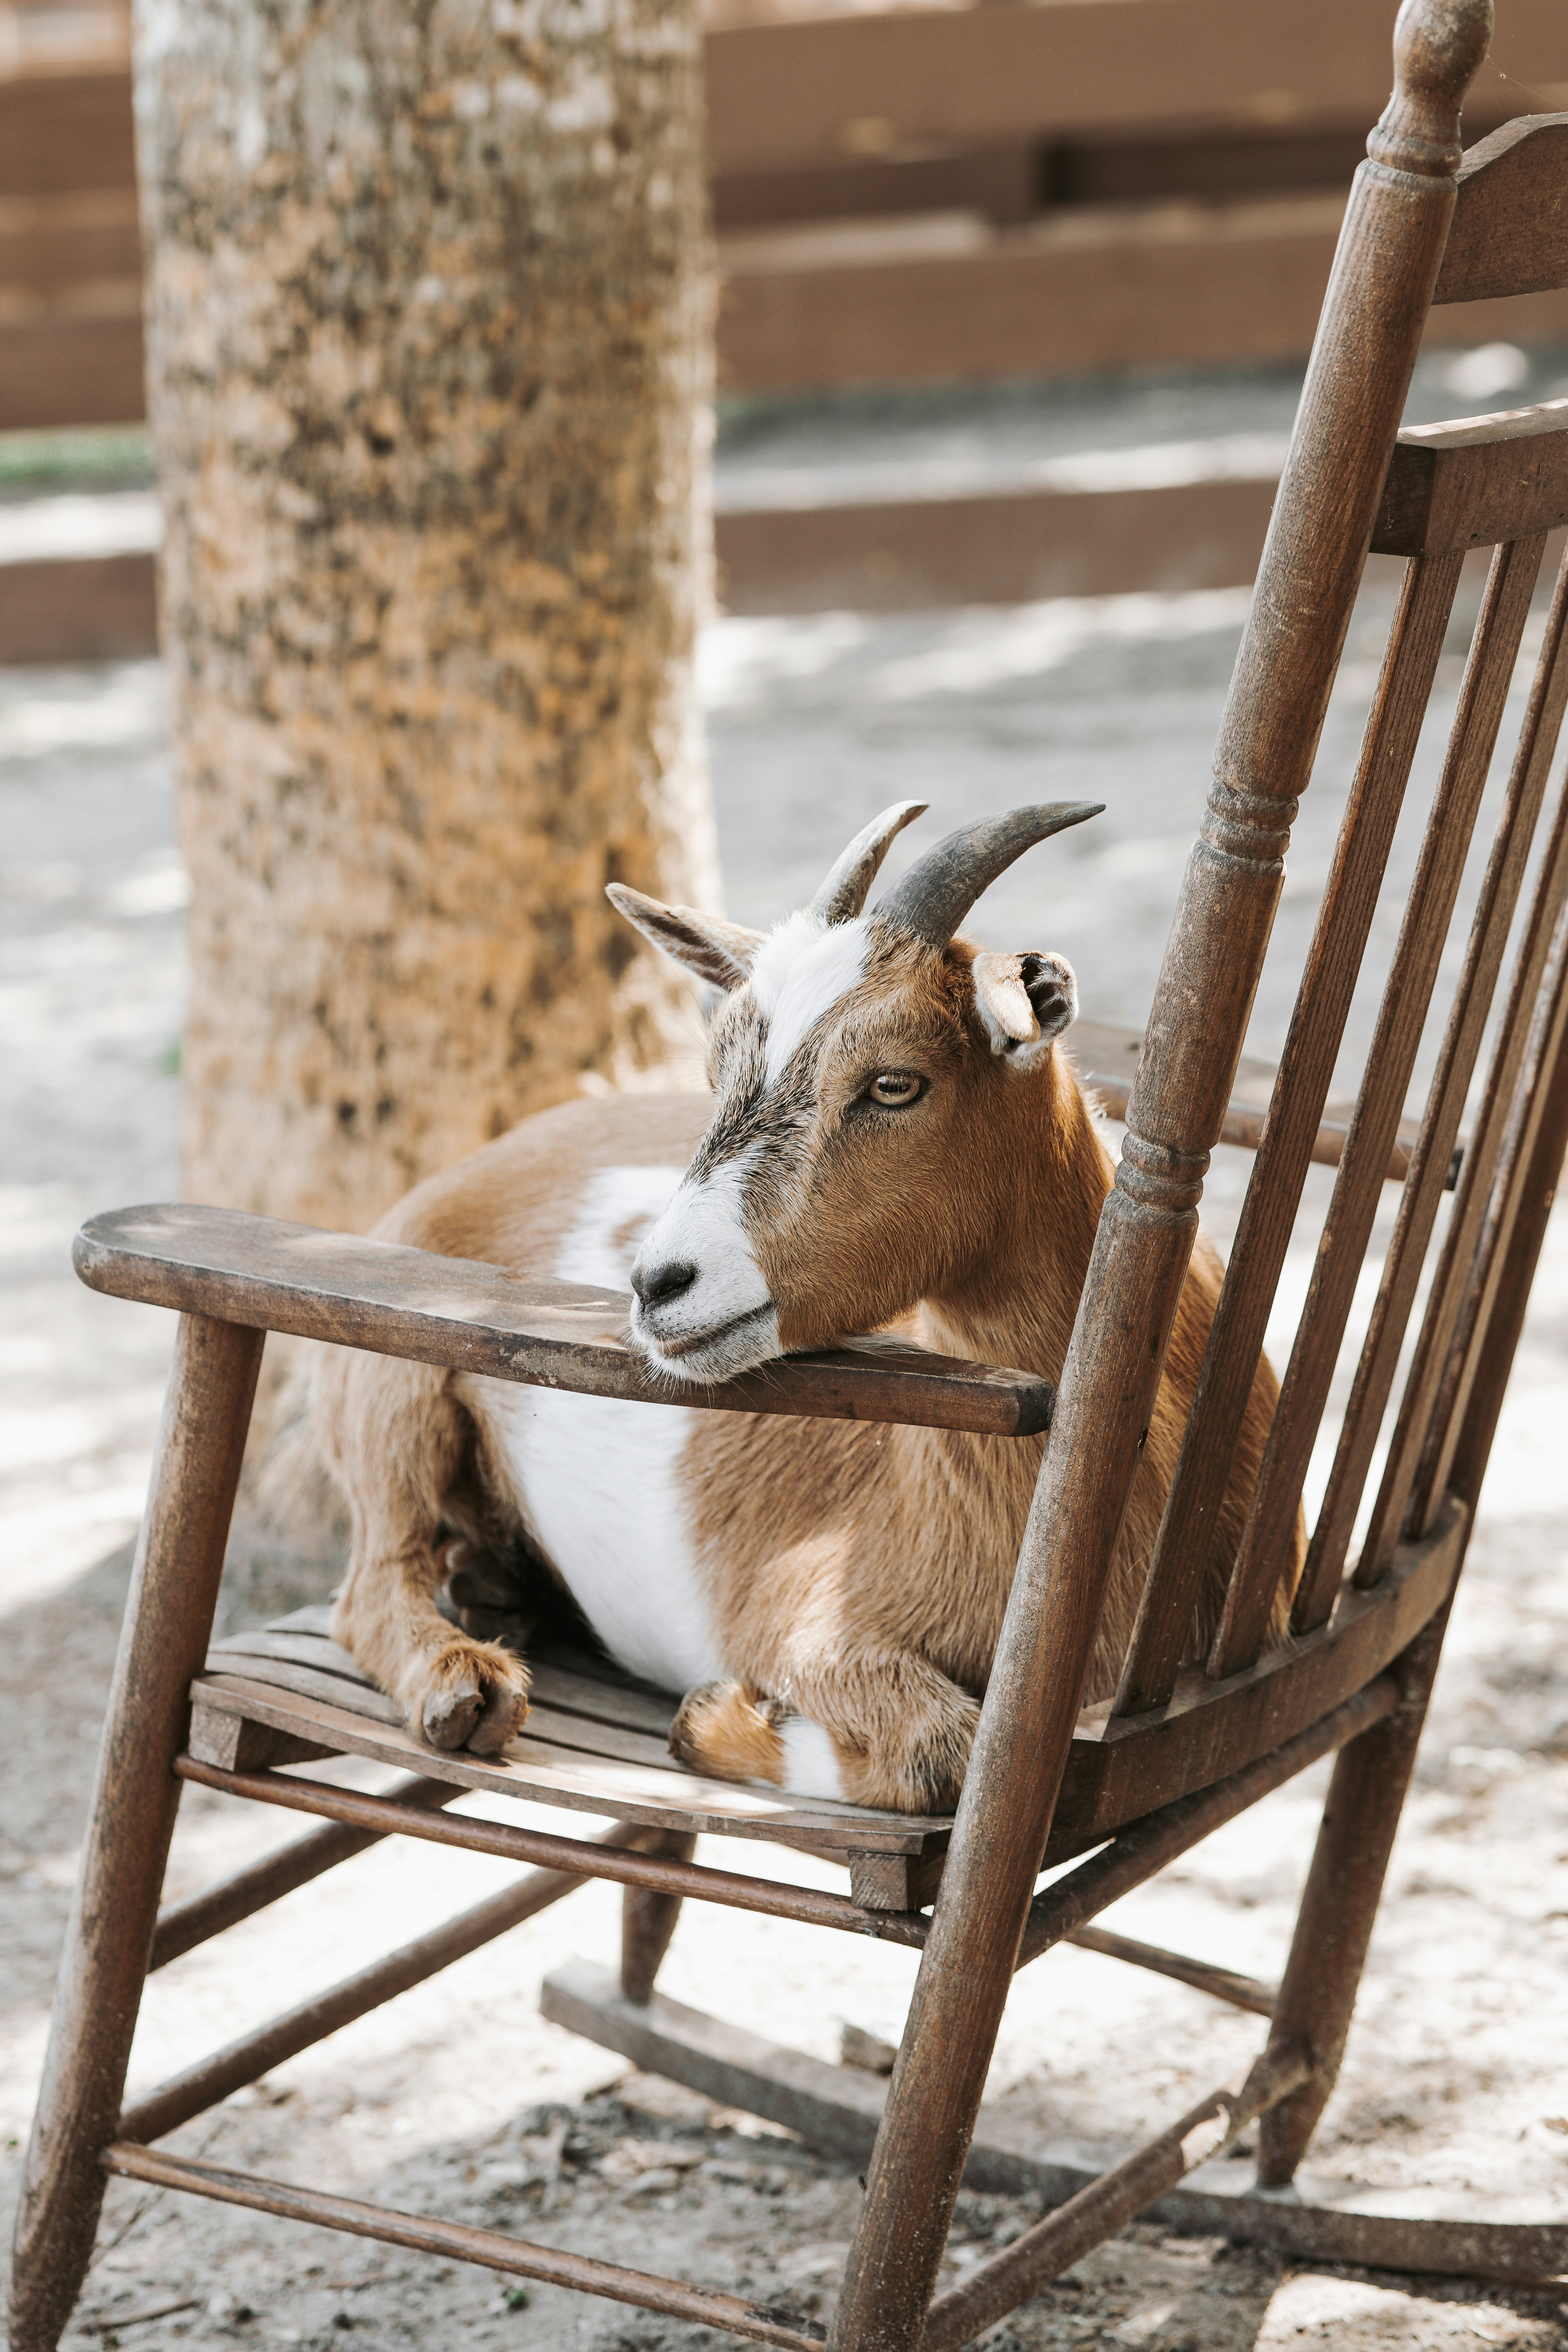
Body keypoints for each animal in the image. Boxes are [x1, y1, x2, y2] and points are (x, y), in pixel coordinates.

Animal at [314, 802, 1302, 1811]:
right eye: (718, 1071)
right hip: (388, 1392)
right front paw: (712, 1717)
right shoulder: (798, 1613)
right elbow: (939, 1748)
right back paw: (463, 1684)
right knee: (371, 1581)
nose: (657, 1284)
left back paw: (496, 1592)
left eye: (894, 1082)